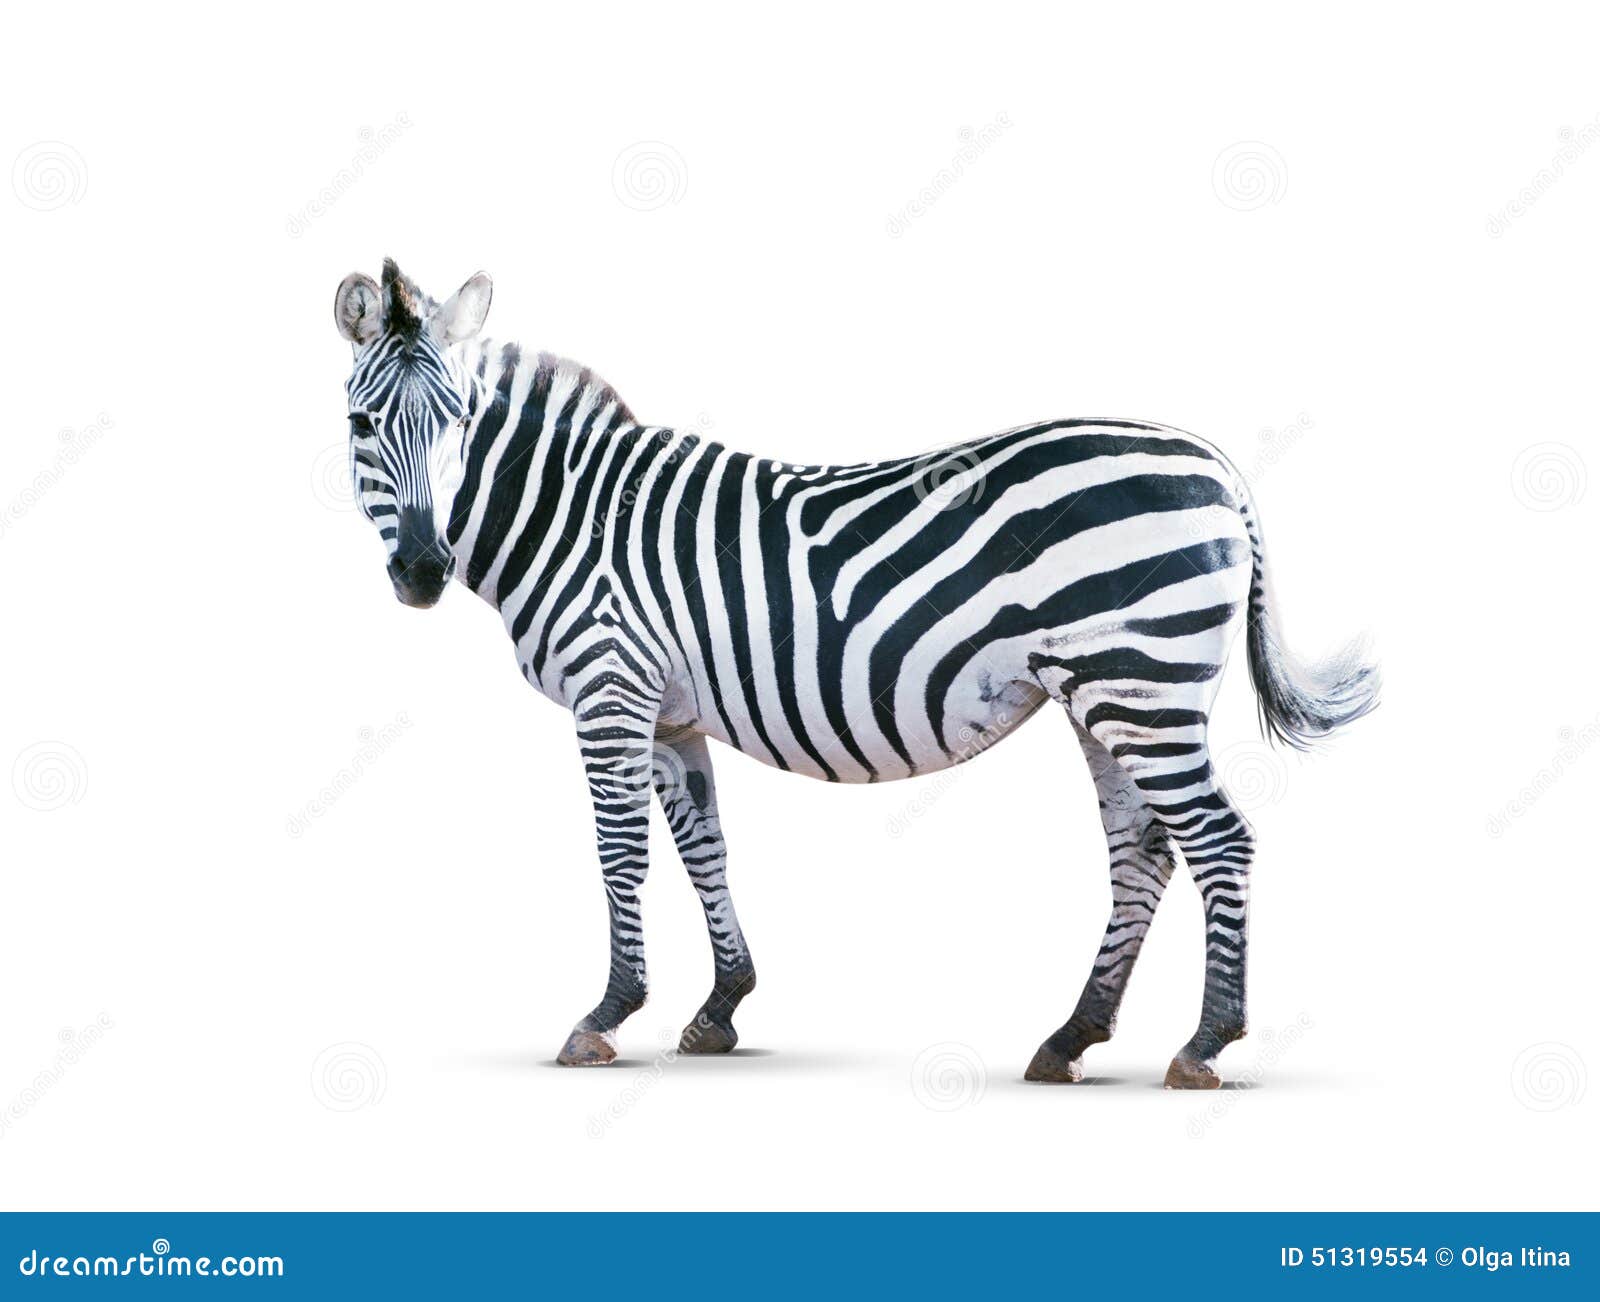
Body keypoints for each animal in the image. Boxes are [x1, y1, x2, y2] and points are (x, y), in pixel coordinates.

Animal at [332, 259, 1378, 1089]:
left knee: (1220, 841)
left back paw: (1205, 1044)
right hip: (1105, 693)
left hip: (1138, 682)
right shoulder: (669, 711)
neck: (576, 514)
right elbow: (704, 847)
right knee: (1144, 850)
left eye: (460, 421)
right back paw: (1073, 1037)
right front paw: (721, 1006)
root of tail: (1216, 464)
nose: (421, 570)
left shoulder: (610, 685)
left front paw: (607, 1015)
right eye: (362, 422)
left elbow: (618, 852)